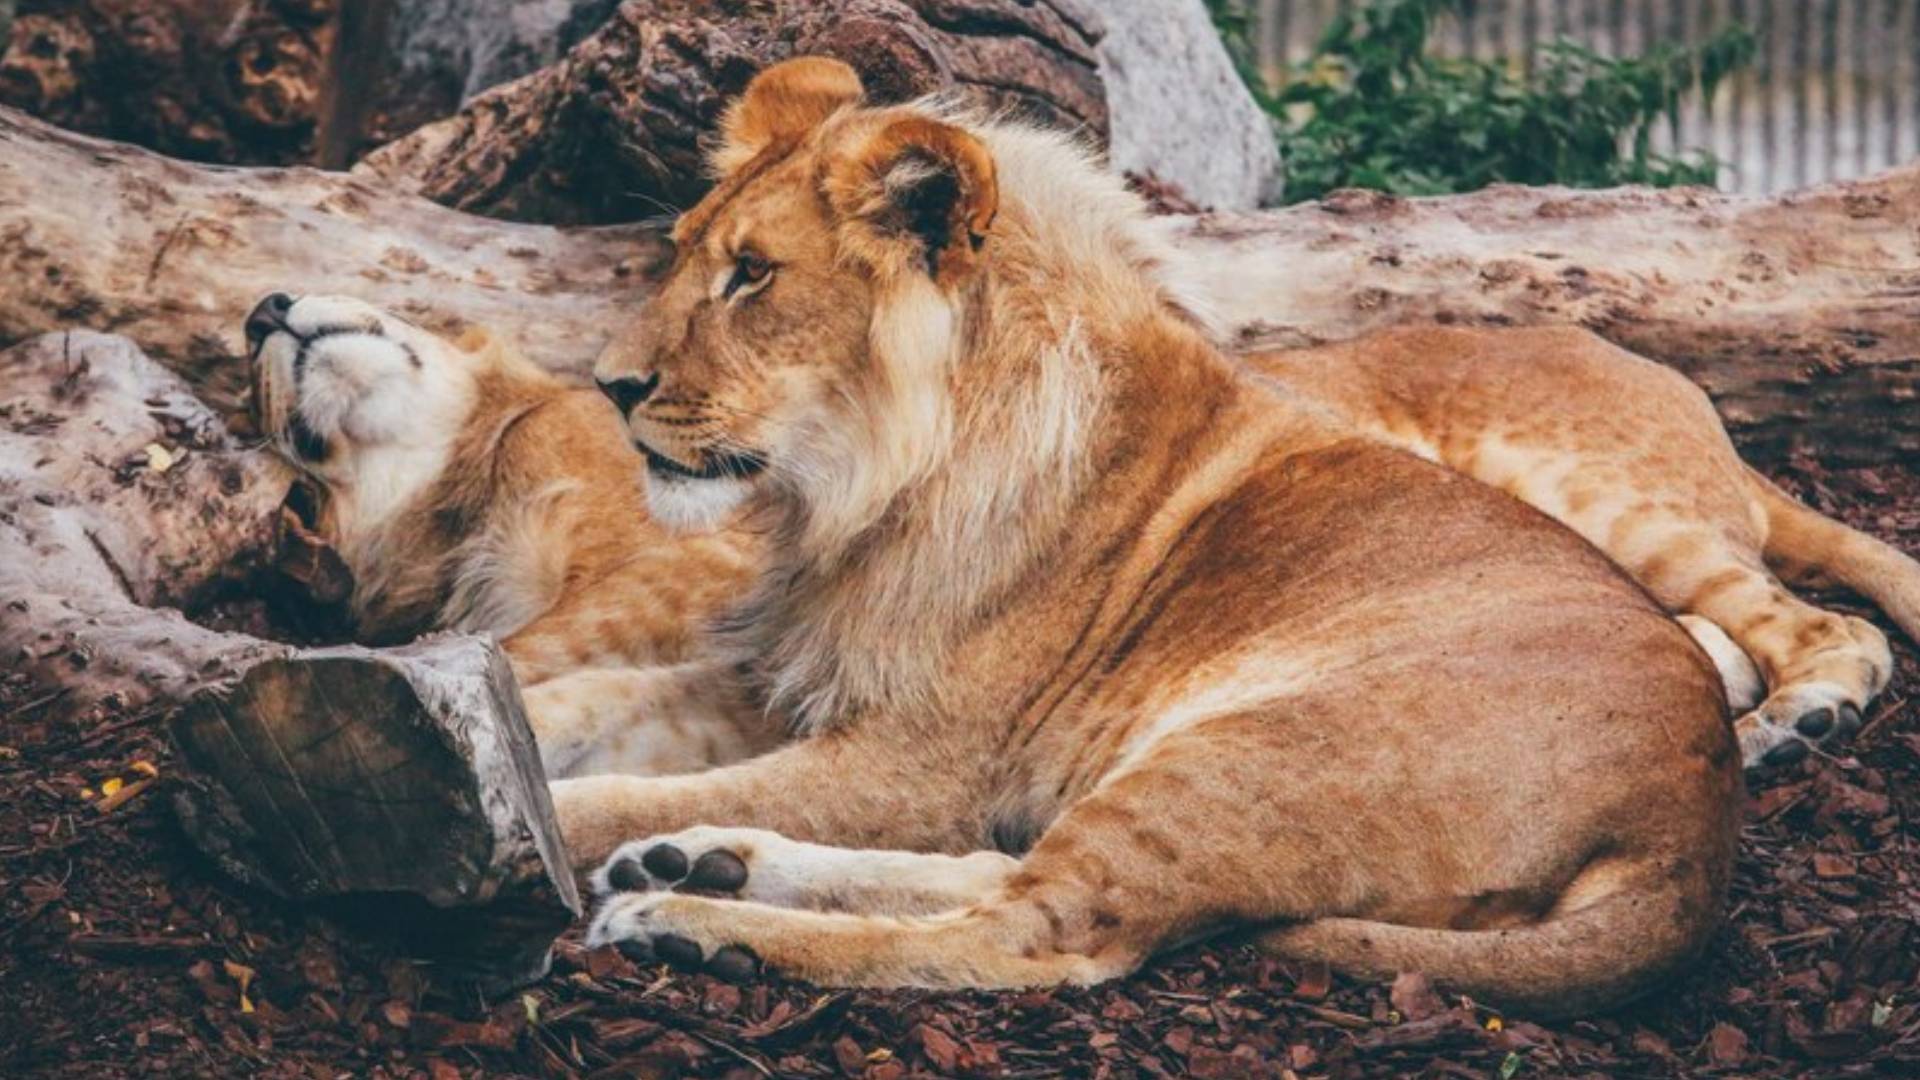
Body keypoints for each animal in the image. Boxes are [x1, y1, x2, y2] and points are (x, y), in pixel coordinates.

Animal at [554, 57, 1745, 1015]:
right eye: (681, 254)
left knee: (1030, 935)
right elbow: (598, 704)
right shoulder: (798, 678)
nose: (609, 386)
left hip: (1239, 757)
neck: (856, 491)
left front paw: (541, 825)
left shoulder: (919, 767)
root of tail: (1693, 835)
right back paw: (702, 864)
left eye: (752, 273)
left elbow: (613, 795)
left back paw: (695, 924)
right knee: (1006, 875)